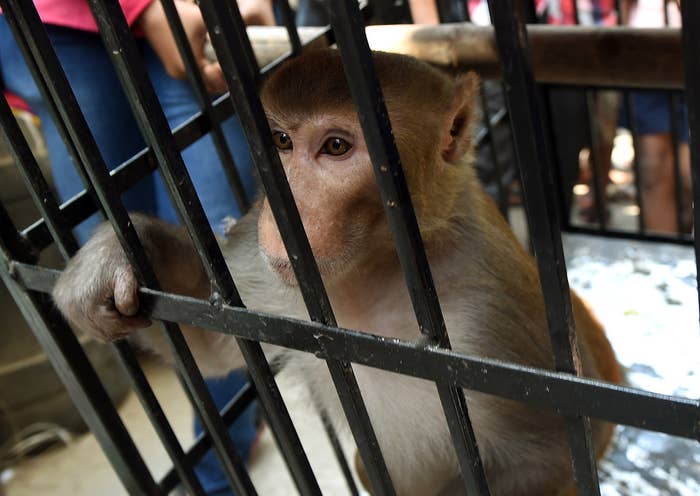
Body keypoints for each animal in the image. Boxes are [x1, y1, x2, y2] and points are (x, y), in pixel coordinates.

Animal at [52, 48, 622, 496]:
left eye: (336, 147)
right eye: (281, 141)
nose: (283, 214)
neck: (374, 274)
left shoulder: (492, 311)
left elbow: (557, 449)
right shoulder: (265, 271)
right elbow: (215, 340)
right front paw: (111, 259)